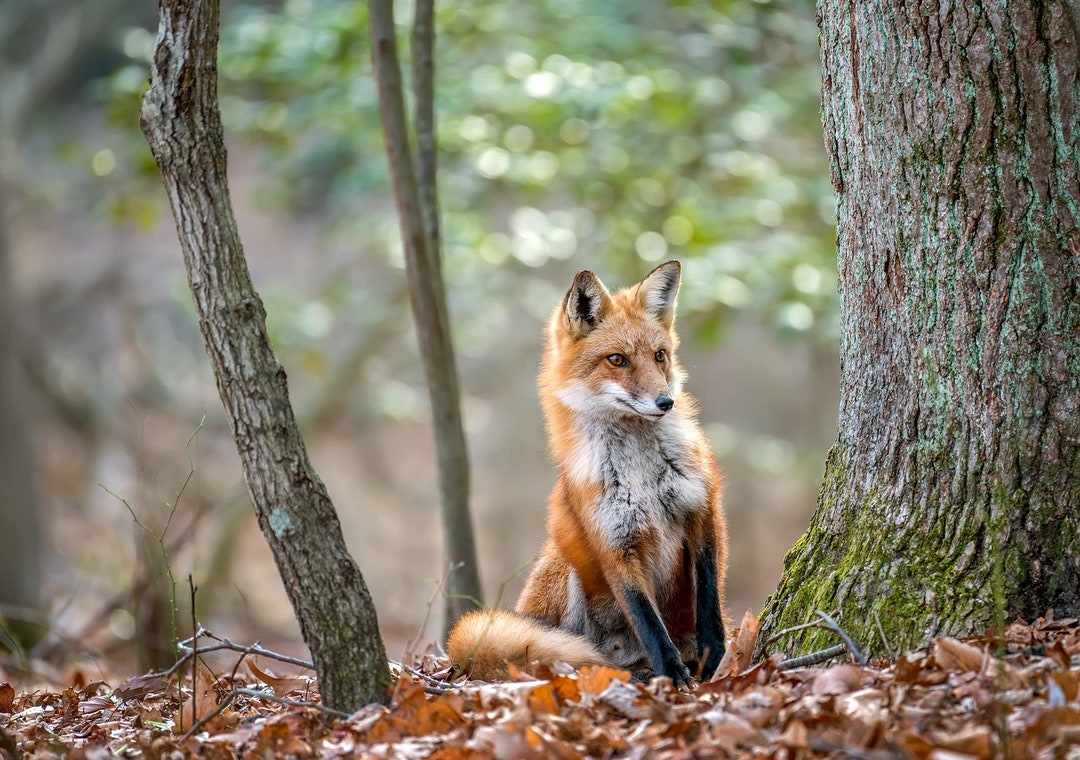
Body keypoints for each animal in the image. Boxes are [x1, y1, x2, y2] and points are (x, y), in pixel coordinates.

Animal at [447, 260, 729, 686]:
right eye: (617, 359)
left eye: (660, 355)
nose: (665, 401)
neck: (643, 474)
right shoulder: (614, 542)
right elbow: (647, 620)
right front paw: (673, 675)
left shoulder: (702, 513)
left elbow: (710, 598)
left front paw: (711, 655)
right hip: (566, 563)